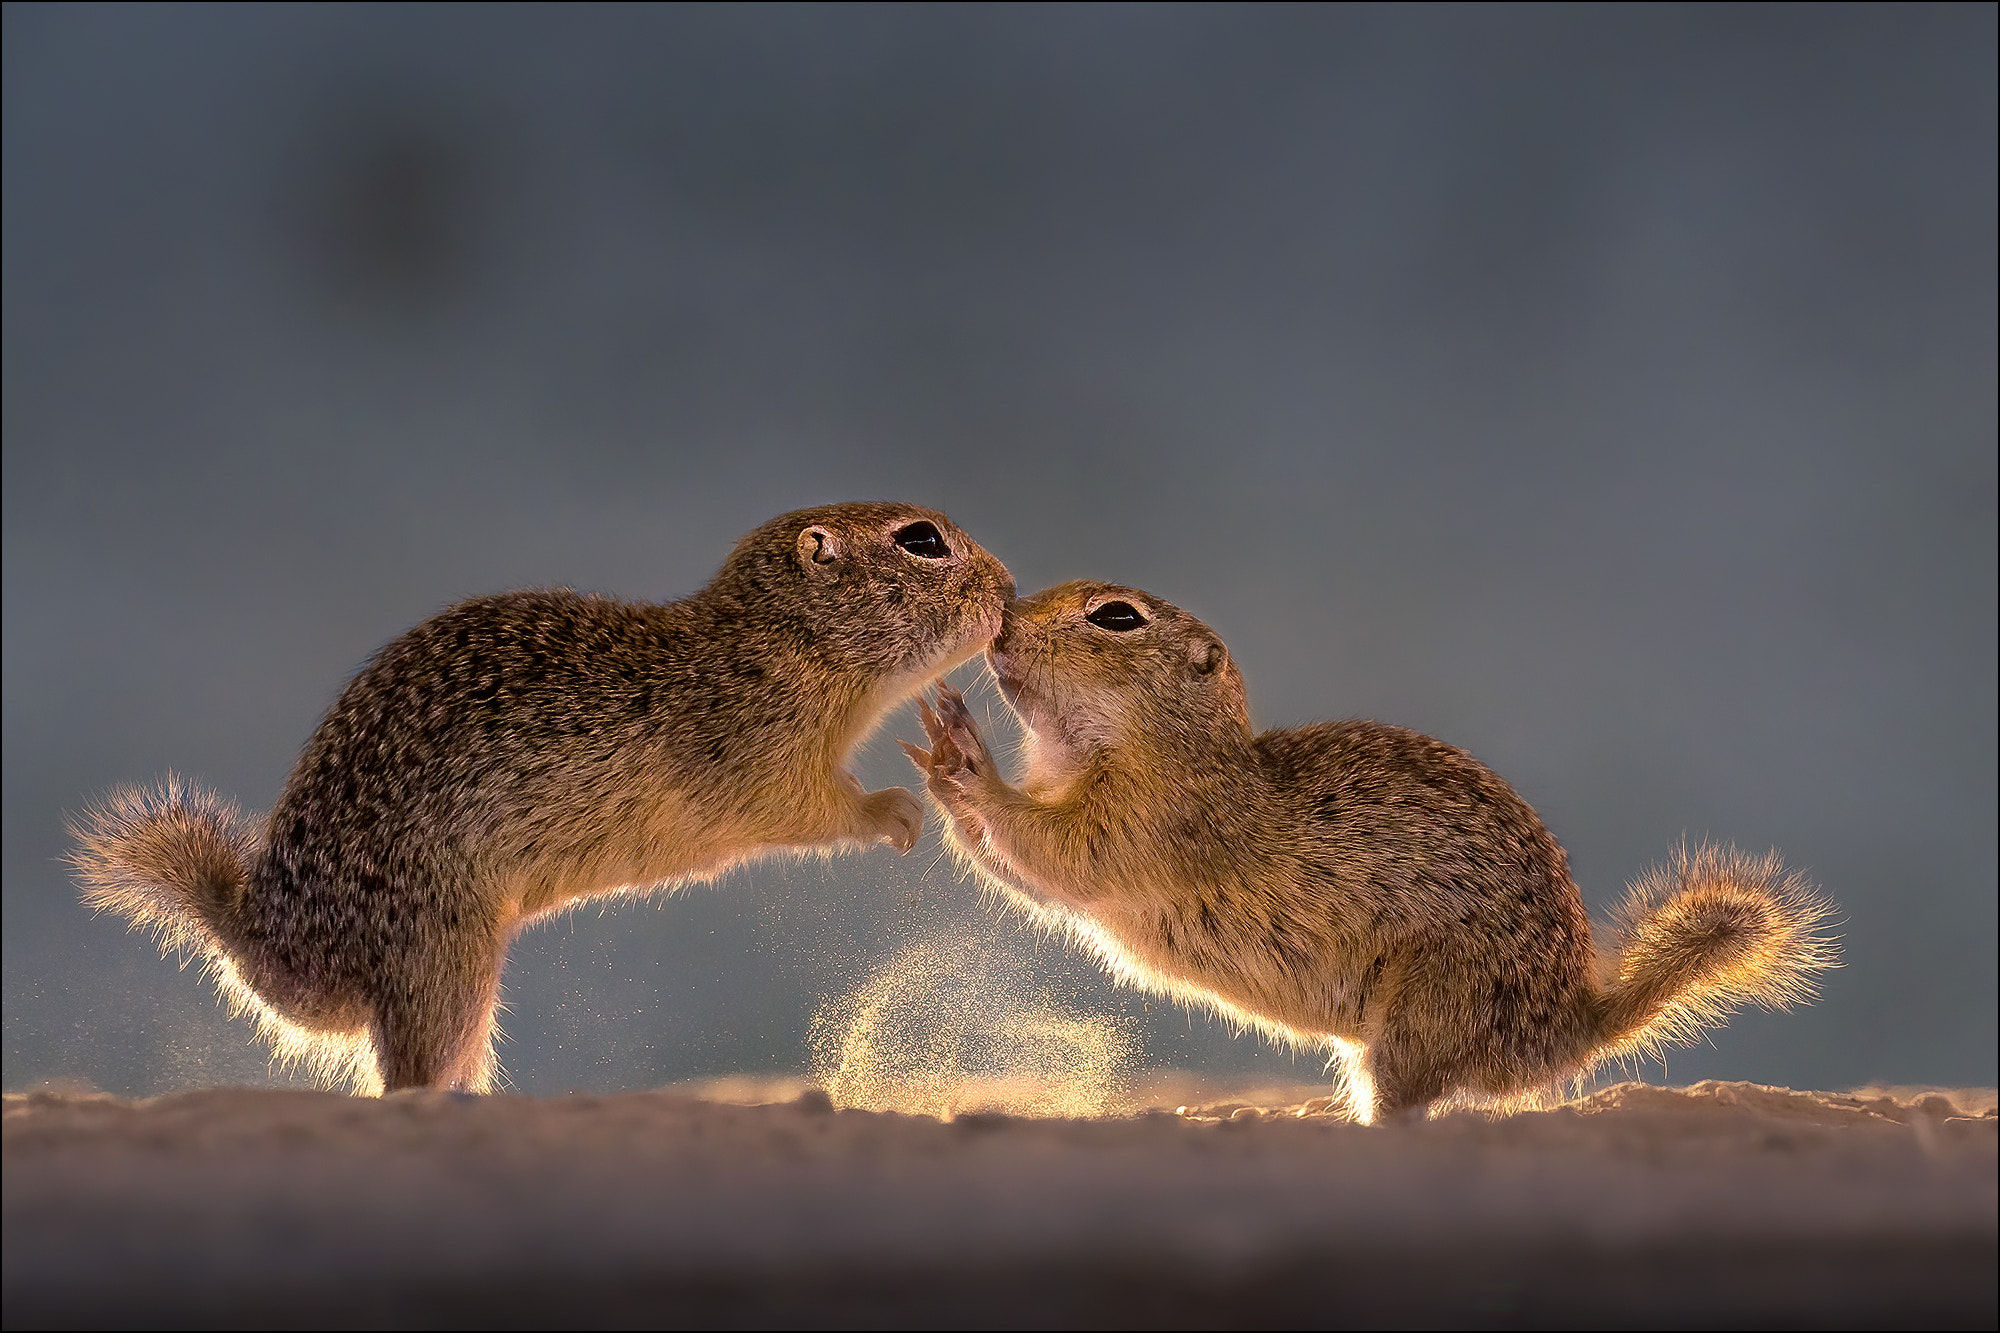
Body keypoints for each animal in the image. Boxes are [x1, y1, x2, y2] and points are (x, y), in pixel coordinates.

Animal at [72, 502, 1015, 1095]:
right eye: (922, 540)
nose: (1008, 593)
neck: (785, 641)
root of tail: (269, 949)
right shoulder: (765, 761)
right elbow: (825, 807)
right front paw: (899, 813)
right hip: (442, 960)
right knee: (410, 1076)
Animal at [902, 580, 1837, 1124]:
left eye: (1116, 617)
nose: (999, 623)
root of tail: (1563, 1028)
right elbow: (1022, 873)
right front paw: (944, 765)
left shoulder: (1147, 823)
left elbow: (1057, 853)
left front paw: (971, 760)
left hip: (1423, 1013)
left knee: (1412, 1103)